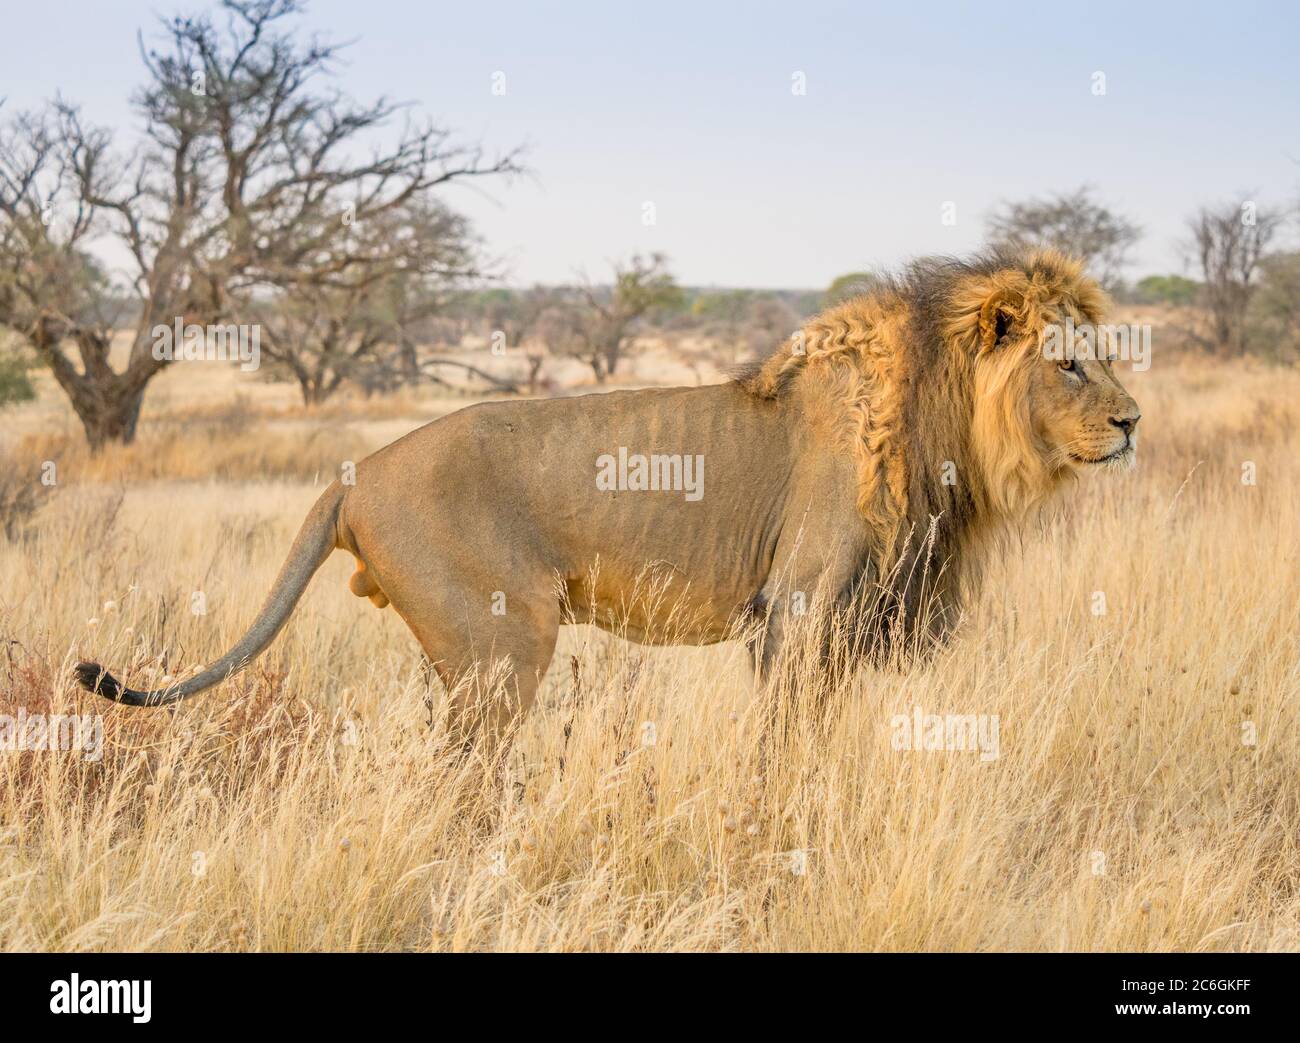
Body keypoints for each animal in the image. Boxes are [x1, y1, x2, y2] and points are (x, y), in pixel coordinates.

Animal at [76, 248, 1140, 745]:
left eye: (1101, 354)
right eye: (1070, 364)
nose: (1134, 421)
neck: (945, 425)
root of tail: (350, 478)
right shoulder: (797, 609)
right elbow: (786, 743)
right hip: (502, 644)